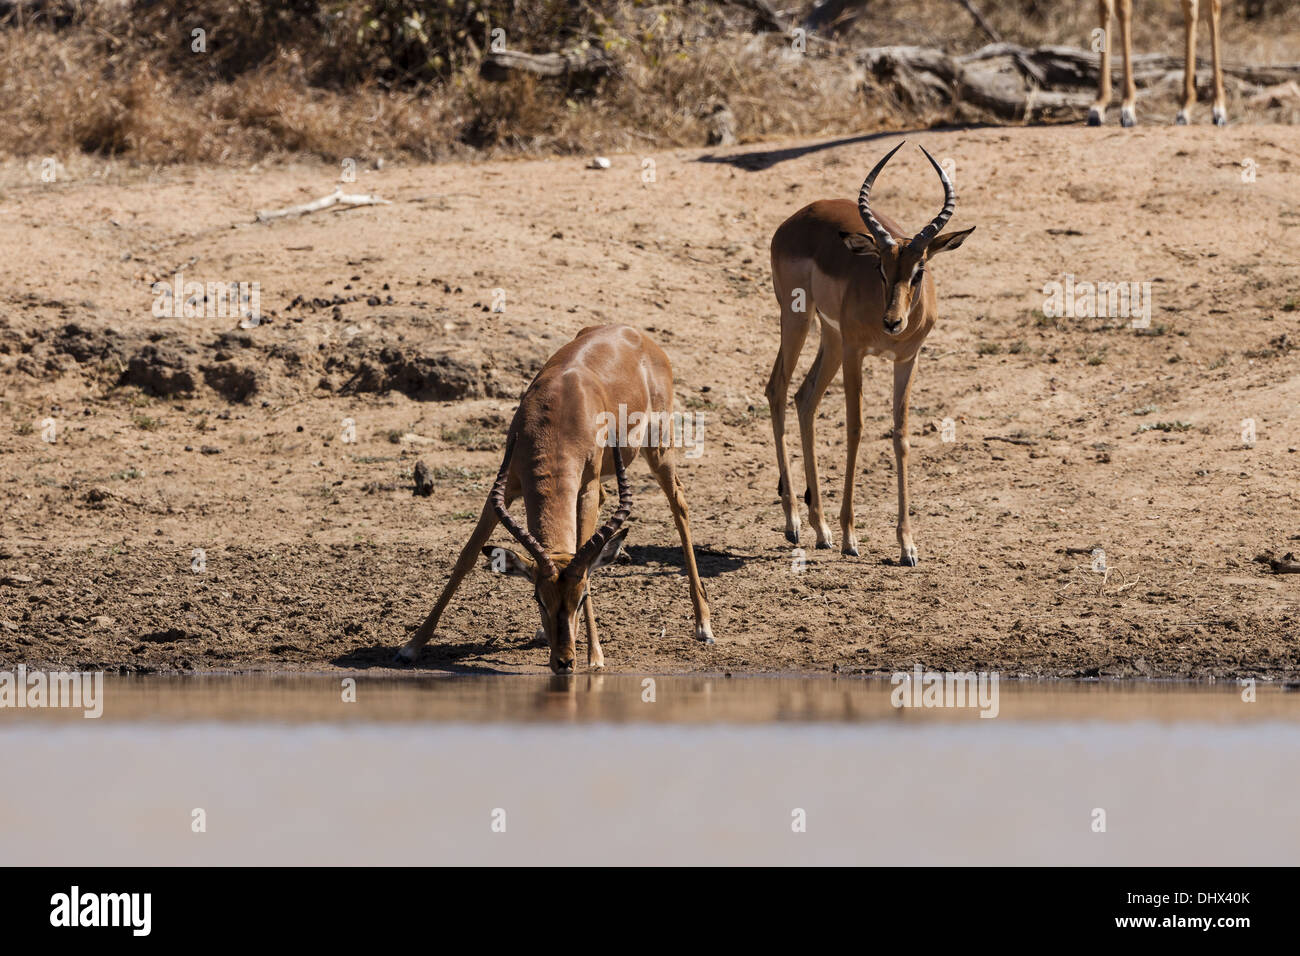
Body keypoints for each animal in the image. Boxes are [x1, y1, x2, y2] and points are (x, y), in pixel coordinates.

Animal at [396, 324, 713, 674]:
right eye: (539, 598)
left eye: (582, 597)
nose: (564, 661)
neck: (558, 415)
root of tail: (635, 334)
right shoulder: (505, 487)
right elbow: (466, 556)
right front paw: (411, 647)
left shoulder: (585, 487)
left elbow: (585, 553)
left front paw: (596, 655)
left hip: (657, 447)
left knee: (679, 502)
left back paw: (704, 625)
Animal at [765, 142, 974, 565]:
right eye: (879, 266)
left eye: (919, 269)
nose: (892, 322)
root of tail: (796, 219)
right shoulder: (856, 352)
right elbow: (856, 429)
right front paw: (851, 537)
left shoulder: (907, 359)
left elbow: (901, 435)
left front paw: (907, 546)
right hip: (799, 319)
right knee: (777, 389)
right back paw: (794, 523)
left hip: (830, 337)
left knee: (804, 397)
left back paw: (820, 529)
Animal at [1088, 0, 1227, 127]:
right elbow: (1105, 8)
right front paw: (1099, 106)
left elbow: (1122, 10)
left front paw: (1127, 110)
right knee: (1191, 9)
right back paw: (1184, 111)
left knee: (1213, 10)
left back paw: (1218, 111)